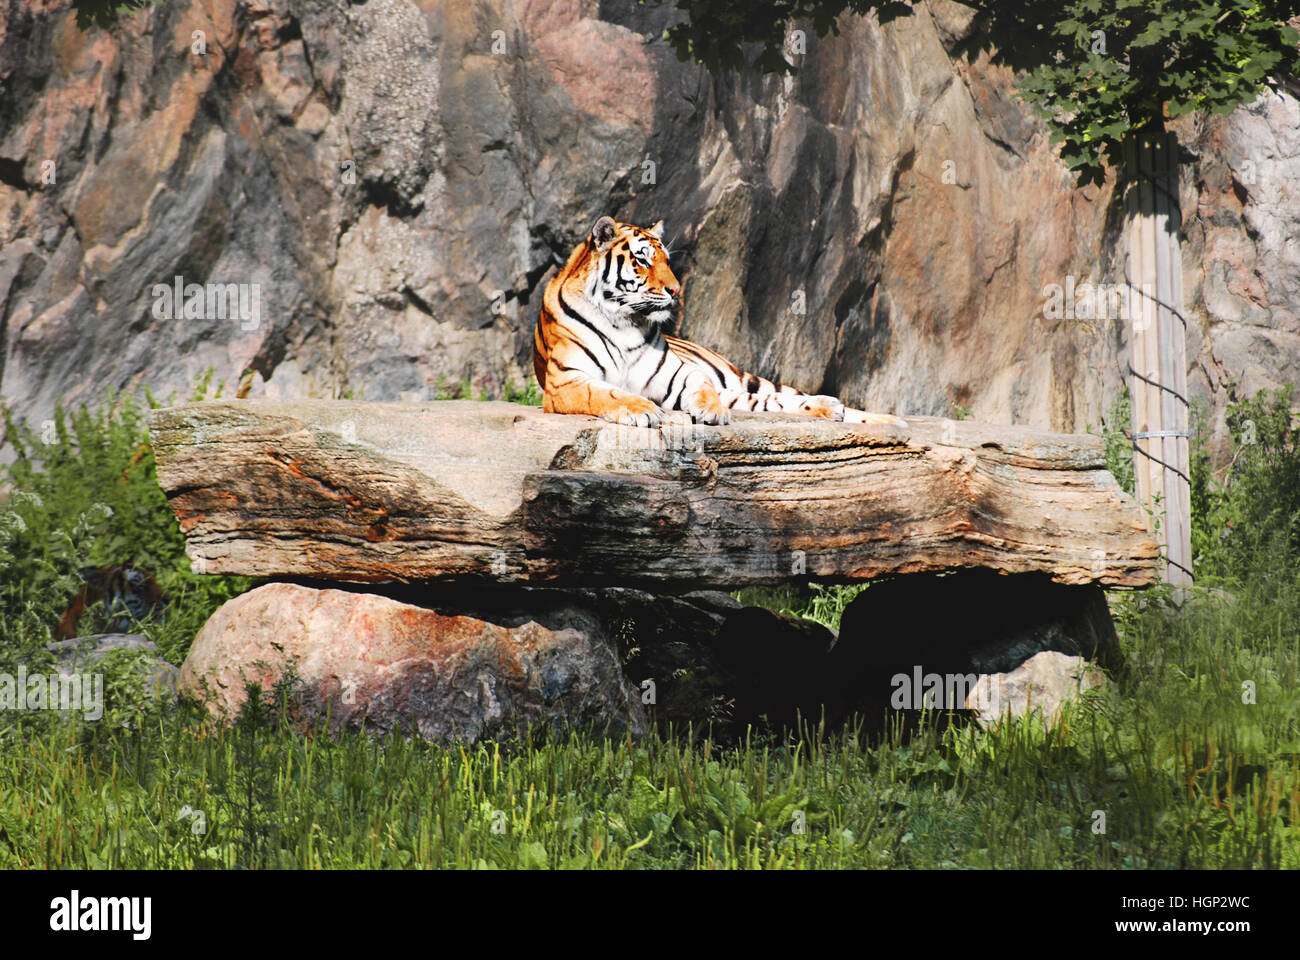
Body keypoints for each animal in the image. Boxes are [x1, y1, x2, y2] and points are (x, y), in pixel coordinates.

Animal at [533, 216, 907, 430]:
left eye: (667, 260)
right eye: (642, 260)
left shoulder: (679, 375)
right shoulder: (567, 382)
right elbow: (607, 393)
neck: (624, 319)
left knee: (778, 395)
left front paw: (711, 410)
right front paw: (642, 409)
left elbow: (699, 386)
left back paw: (882, 418)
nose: (676, 290)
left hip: (744, 377)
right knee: (767, 402)